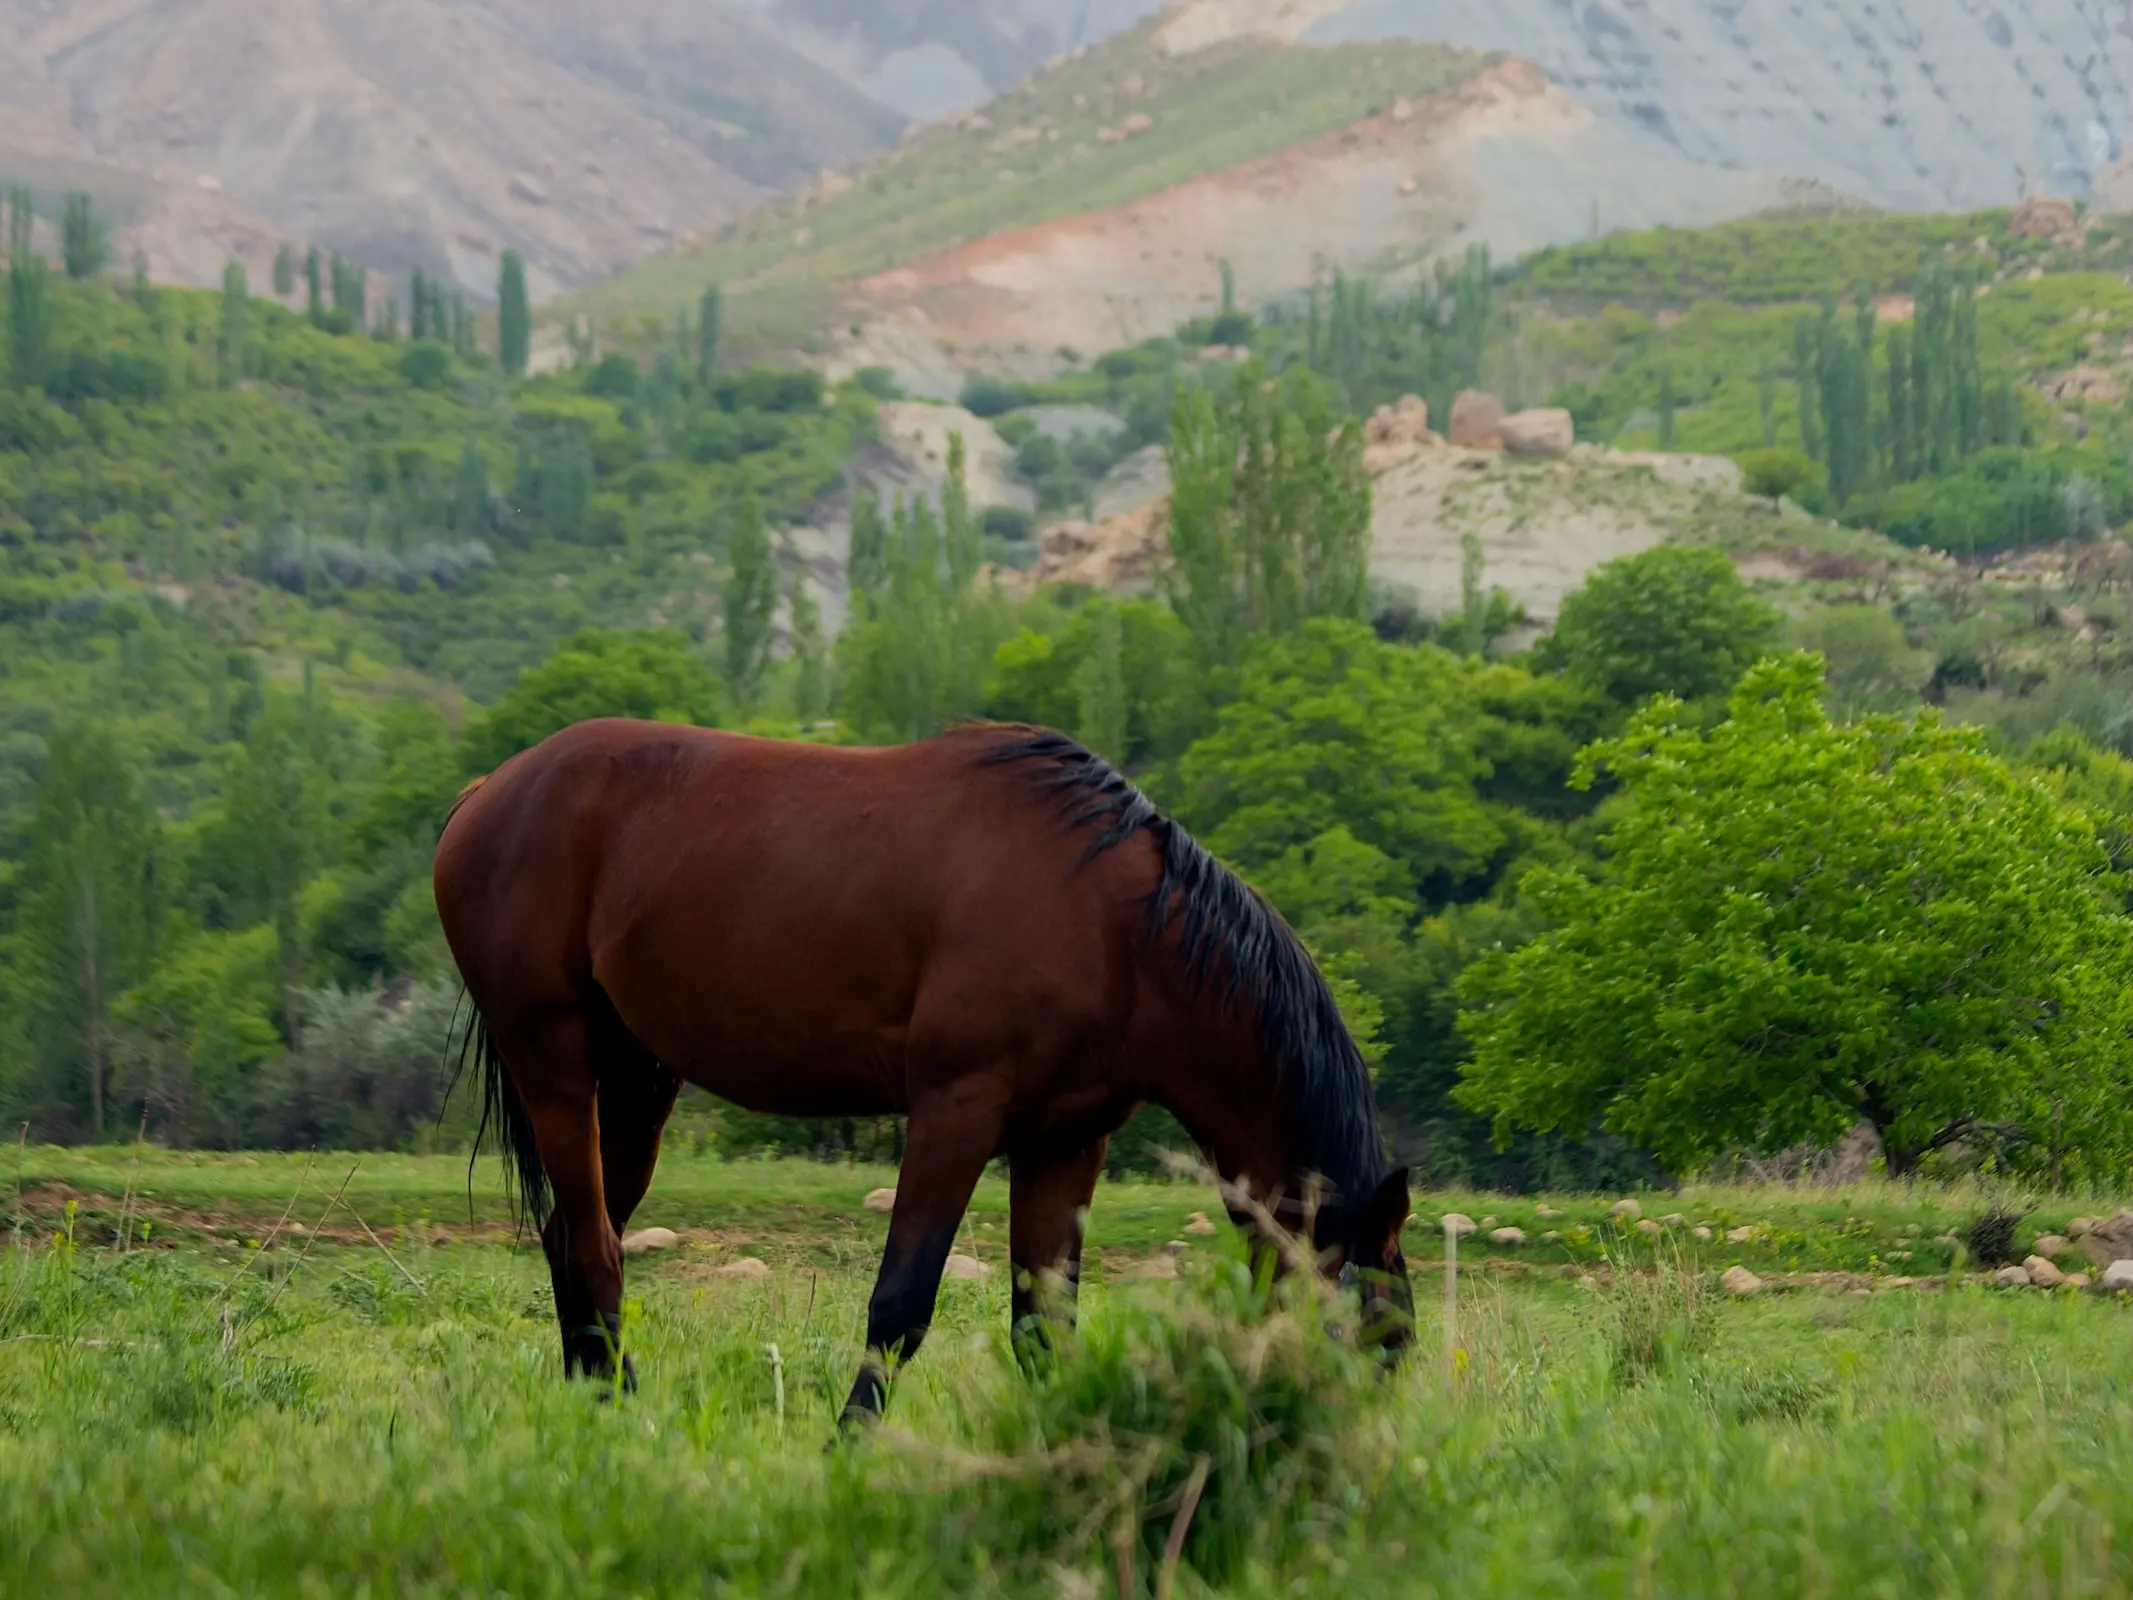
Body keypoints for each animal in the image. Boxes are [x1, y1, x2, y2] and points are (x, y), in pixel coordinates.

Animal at [433, 717, 1413, 1424]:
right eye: (1375, 1335)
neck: (1117, 928)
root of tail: (487, 793)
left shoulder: (1066, 1139)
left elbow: (1042, 1322)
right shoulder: (956, 1109)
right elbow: (902, 1302)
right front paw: (847, 1447)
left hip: (640, 1086)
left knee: (570, 1235)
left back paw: (593, 1410)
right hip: (555, 1066)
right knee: (592, 1247)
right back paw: (622, 1417)